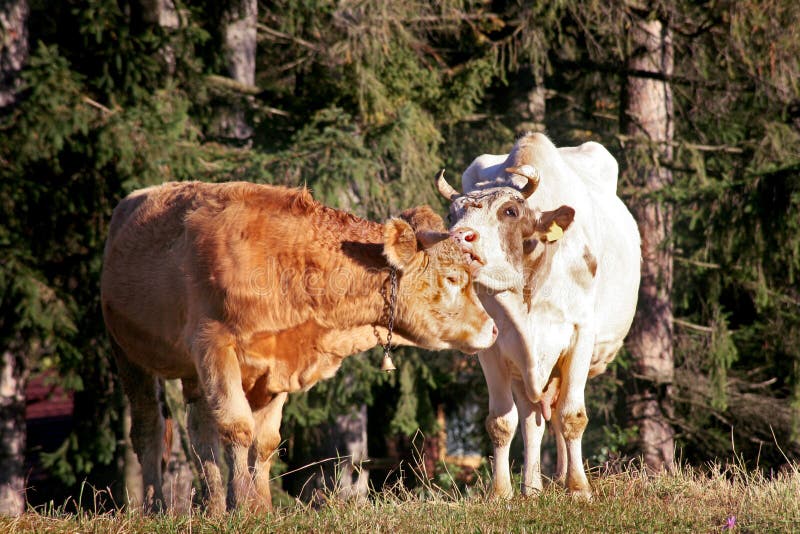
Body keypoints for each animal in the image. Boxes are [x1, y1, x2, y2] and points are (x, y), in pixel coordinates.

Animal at [100, 181, 497, 513]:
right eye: (452, 279)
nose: (492, 329)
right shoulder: (215, 347)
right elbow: (237, 428)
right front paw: (243, 506)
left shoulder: (276, 369)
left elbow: (264, 441)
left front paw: (260, 507)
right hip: (128, 353)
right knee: (149, 428)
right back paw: (154, 507)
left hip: (192, 373)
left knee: (200, 434)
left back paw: (212, 507)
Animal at [437, 132, 641, 499]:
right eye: (451, 214)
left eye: (510, 211)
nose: (458, 238)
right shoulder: (493, 348)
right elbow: (502, 422)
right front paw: (501, 492)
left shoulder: (580, 335)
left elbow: (572, 415)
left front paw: (579, 488)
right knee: (534, 418)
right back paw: (533, 487)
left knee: (556, 411)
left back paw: (561, 478)